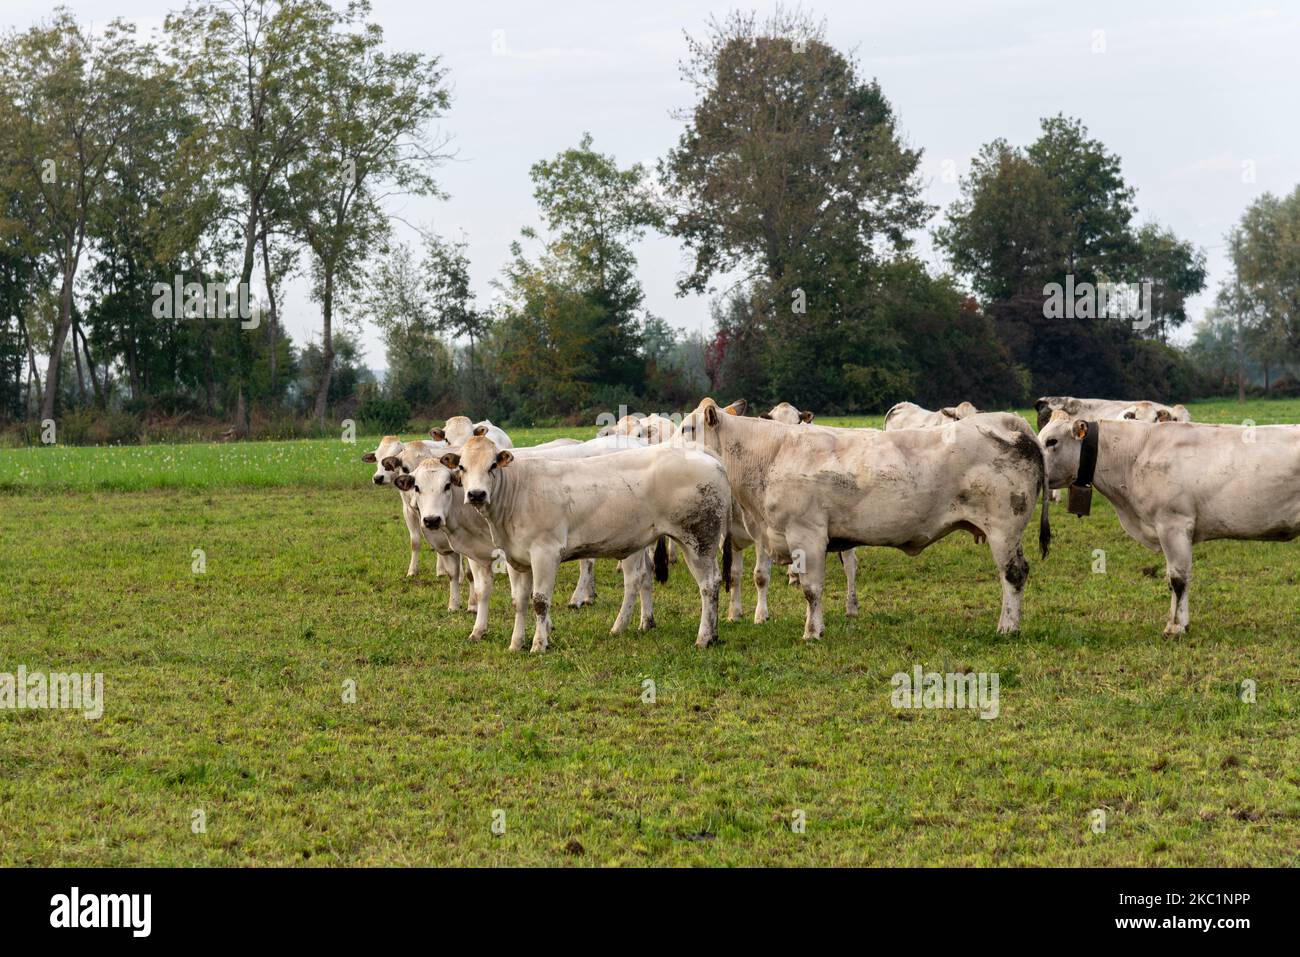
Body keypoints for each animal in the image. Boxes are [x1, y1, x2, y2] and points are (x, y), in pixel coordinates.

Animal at [437, 437, 731, 652]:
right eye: (462, 467)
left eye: (492, 466)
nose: (476, 494)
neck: (517, 492)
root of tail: (708, 457)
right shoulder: (516, 559)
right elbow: (519, 601)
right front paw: (516, 643)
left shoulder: (545, 553)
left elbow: (540, 601)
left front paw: (539, 644)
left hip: (698, 540)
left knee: (708, 584)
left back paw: (704, 637)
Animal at [680, 398, 1050, 639]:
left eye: (687, 428)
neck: (771, 454)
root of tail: (1010, 422)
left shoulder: (807, 535)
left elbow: (812, 589)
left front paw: (812, 632)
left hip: (1004, 528)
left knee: (1014, 574)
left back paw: (1008, 627)